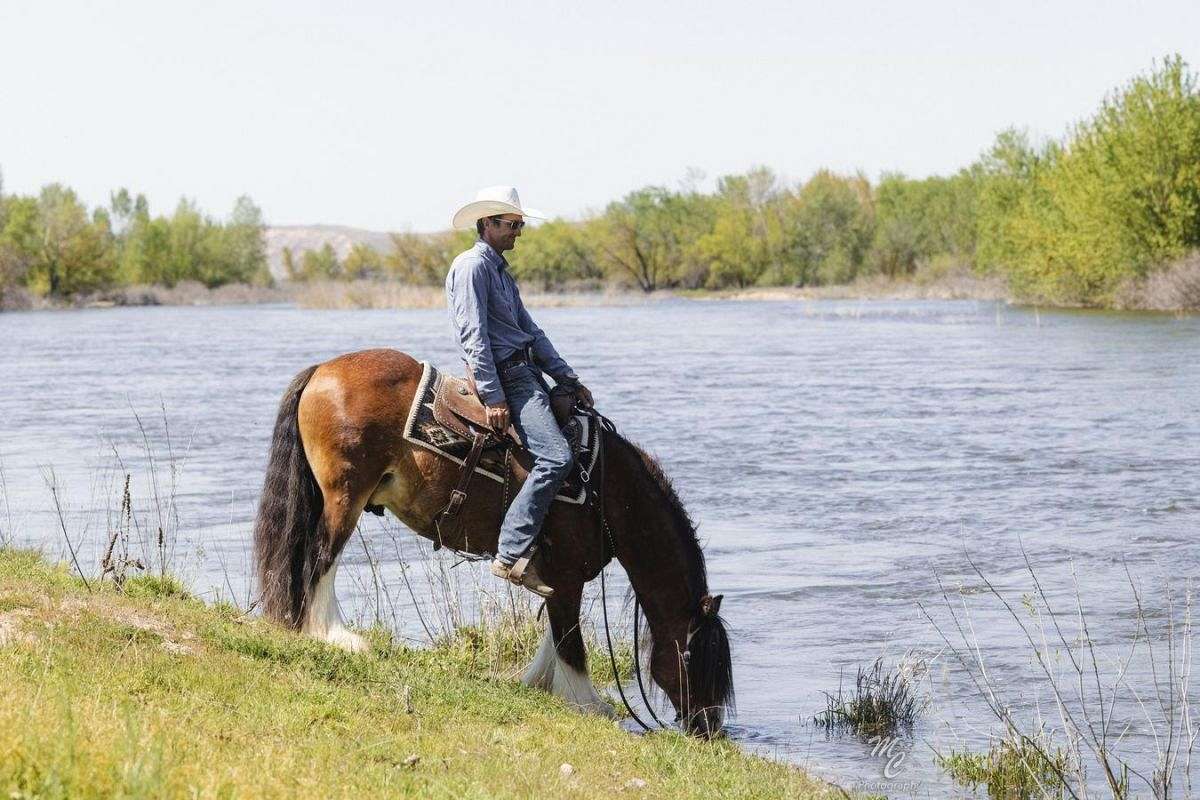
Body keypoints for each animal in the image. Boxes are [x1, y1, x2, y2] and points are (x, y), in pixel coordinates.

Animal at [252, 348, 733, 736]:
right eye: (695, 658)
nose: (708, 730)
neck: (604, 488)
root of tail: (321, 371)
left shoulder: (557, 578)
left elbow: (555, 637)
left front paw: (538, 685)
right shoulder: (566, 574)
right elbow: (570, 643)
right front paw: (590, 705)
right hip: (344, 497)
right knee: (321, 559)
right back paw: (336, 637)